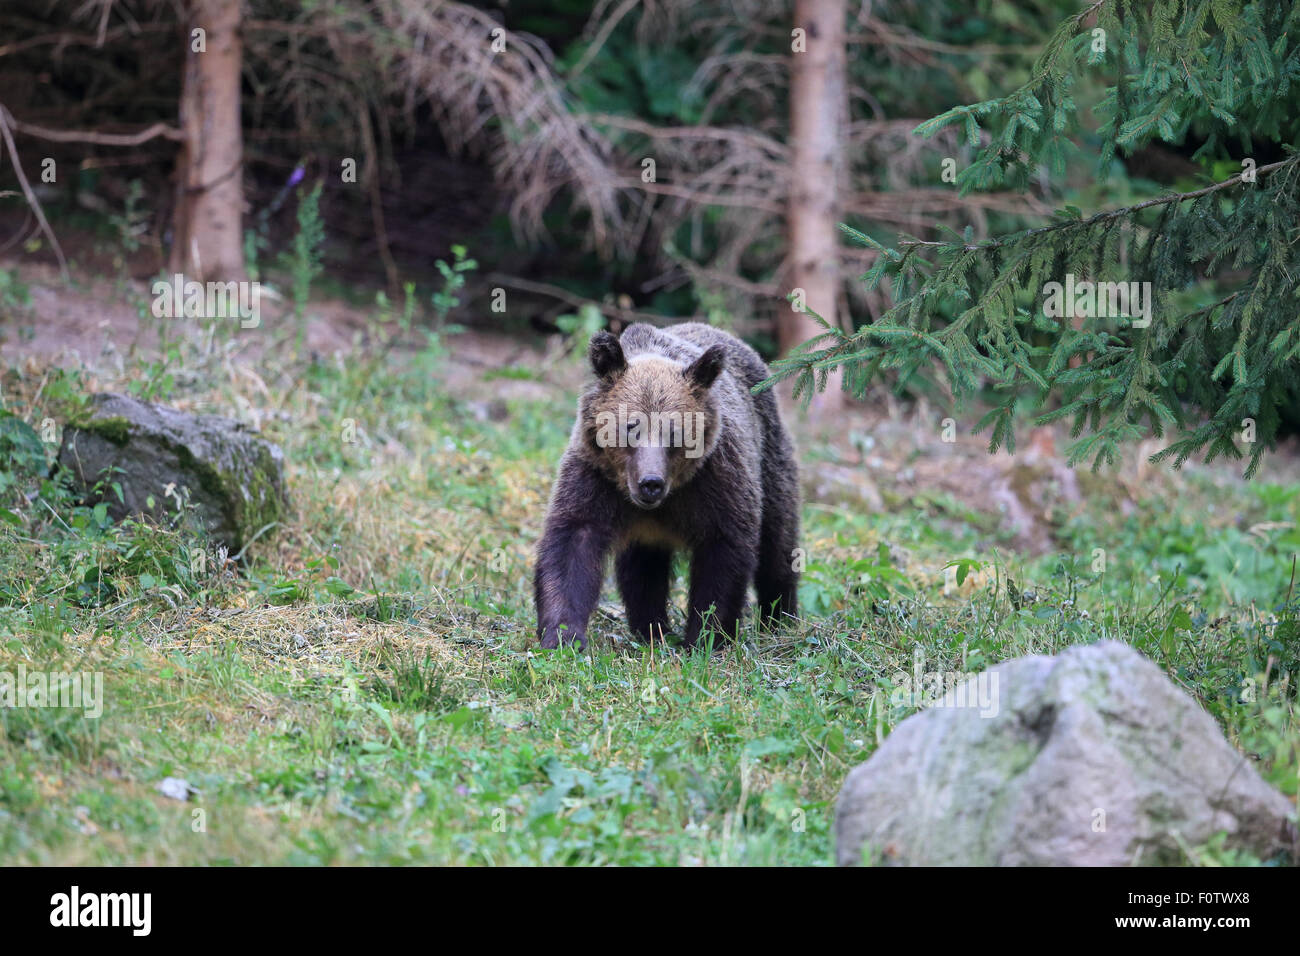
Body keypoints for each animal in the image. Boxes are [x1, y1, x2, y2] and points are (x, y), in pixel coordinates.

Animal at [534, 321, 800, 650]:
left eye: (675, 432)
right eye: (630, 427)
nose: (651, 483)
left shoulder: (717, 480)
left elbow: (724, 553)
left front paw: (706, 637)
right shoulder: (595, 477)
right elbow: (572, 542)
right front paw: (563, 635)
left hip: (770, 459)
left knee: (778, 542)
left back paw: (779, 617)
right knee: (642, 568)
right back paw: (651, 628)